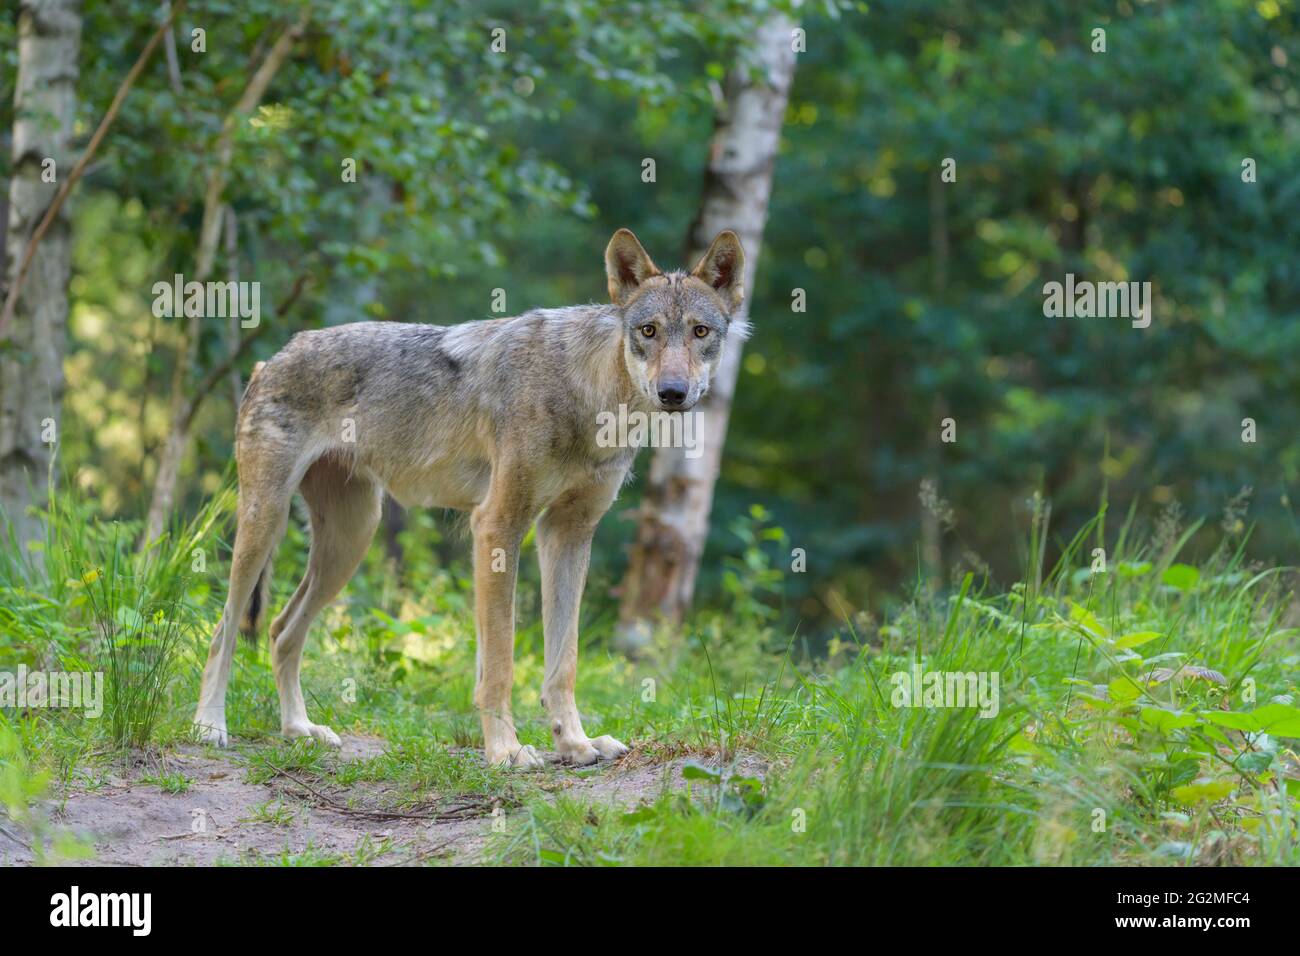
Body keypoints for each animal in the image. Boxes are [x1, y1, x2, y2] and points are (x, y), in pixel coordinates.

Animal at [193, 228, 748, 768]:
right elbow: (499, 663)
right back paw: (209, 728)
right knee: (224, 628)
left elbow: (563, 663)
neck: (590, 395)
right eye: (648, 331)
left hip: (350, 540)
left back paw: (299, 730)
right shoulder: (498, 525)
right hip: (266, 524)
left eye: (700, 332)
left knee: (281, 630)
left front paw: (575, 744)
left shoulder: (566, 534)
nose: (673, 392)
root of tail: (270, 359)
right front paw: (506, 751)